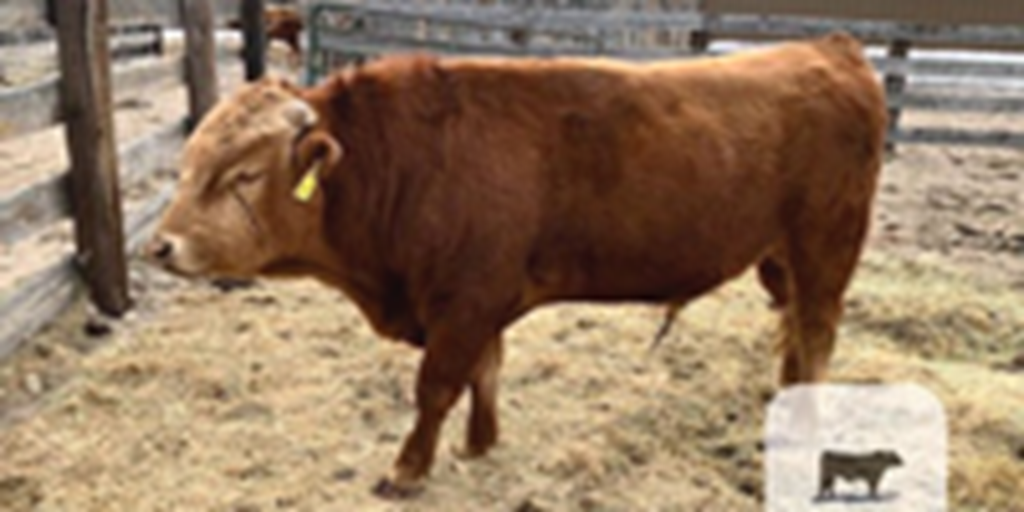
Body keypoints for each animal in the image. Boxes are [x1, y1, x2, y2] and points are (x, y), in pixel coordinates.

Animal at [145, 33, 886, 496]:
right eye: (188, 162)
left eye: (243, 174)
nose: (160, 246)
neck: (402, 164)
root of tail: (830, 48)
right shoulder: (478, 302)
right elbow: (486, 372)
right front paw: (479, 444)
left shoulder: (465, 303)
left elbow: (436, 386)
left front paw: (407, 471)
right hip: (780, 258)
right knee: (793, 336)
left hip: (826, 246)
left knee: (817, 336)